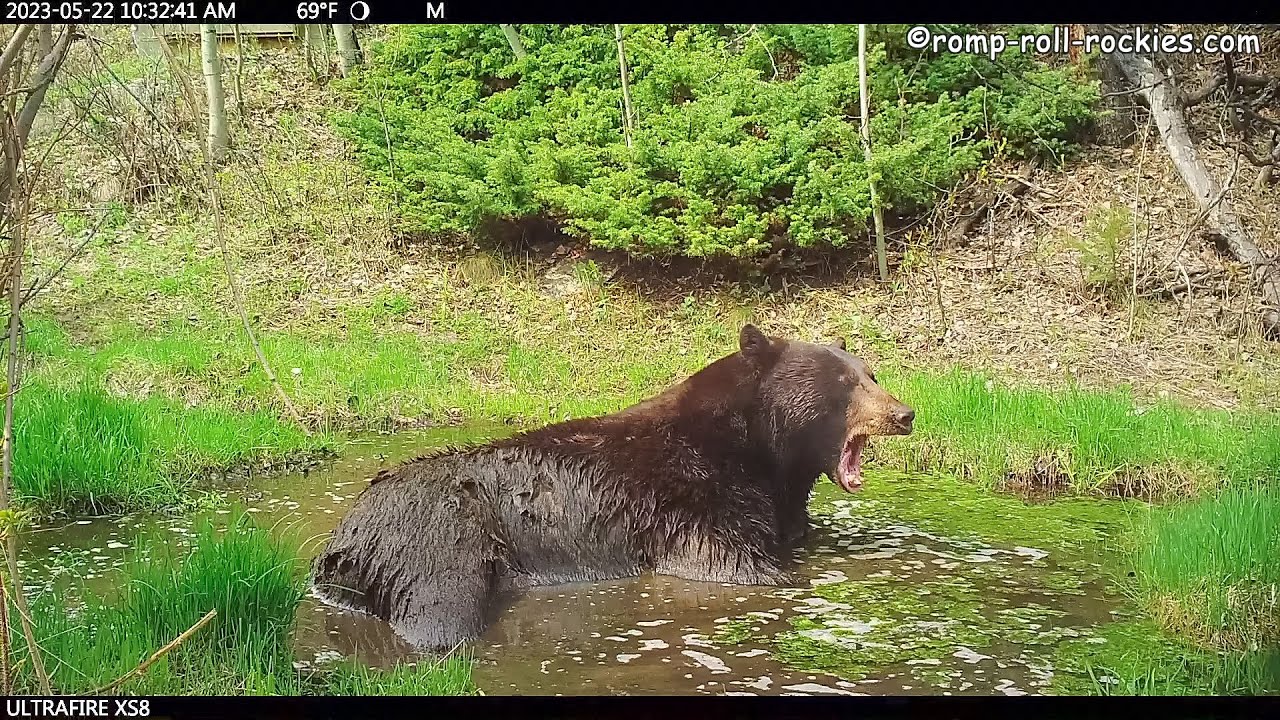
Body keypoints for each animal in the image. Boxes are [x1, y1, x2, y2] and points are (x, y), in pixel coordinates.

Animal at [311, 324, 915, 650]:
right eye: (843, 382)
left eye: (872, 373)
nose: (904, 413)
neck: (758, 452)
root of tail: (344, 539)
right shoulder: (692, 503)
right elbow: (734, 563)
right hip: (436, 544)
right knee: (441, 613)